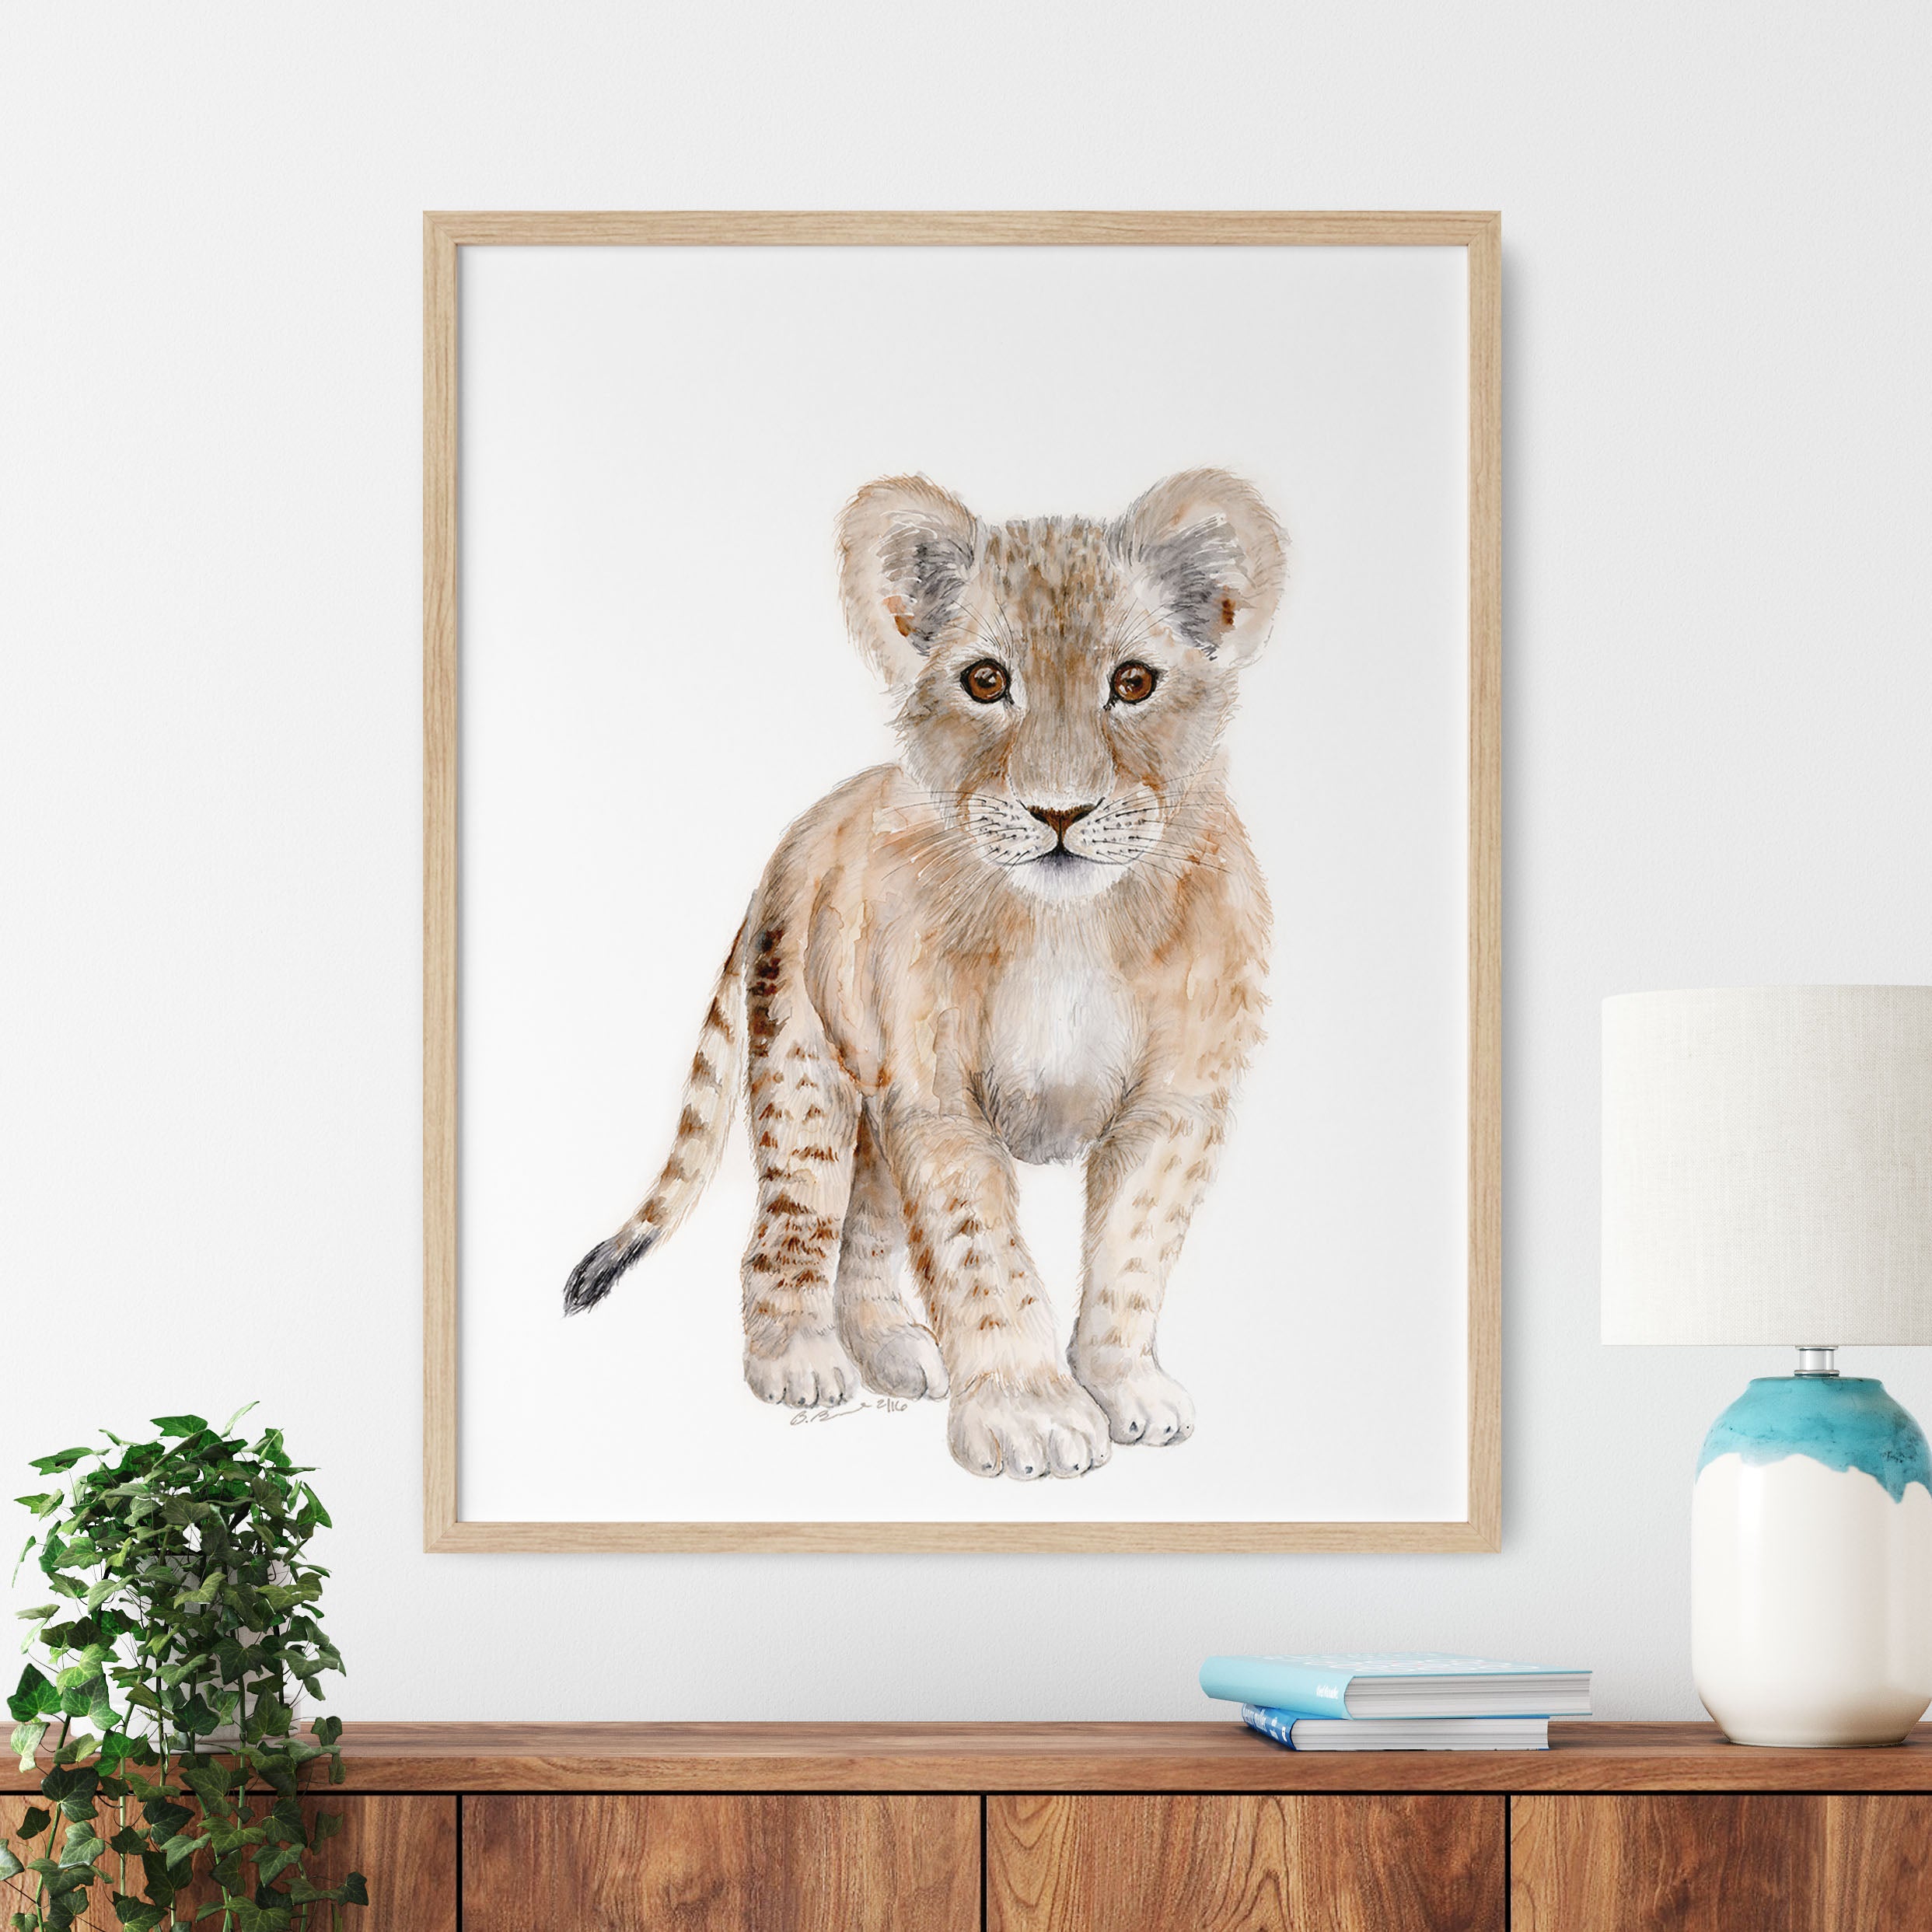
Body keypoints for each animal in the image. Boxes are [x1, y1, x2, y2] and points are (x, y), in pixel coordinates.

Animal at [563, 469, 1285, 1480]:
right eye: (986, 682)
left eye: (1133, 683)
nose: (1058, 813)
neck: (1068, 924)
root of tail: (798, 832)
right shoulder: (938, 1095)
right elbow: (979, 1250)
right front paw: (1030, 1414)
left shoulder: (1176, 1101)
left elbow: (1133, 1253)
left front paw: (1125, 1386)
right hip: (807, 1073)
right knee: (793, 1223)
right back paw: (799, 1360)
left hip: (874, 1107)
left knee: (866, 1229)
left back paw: (896, 1350)